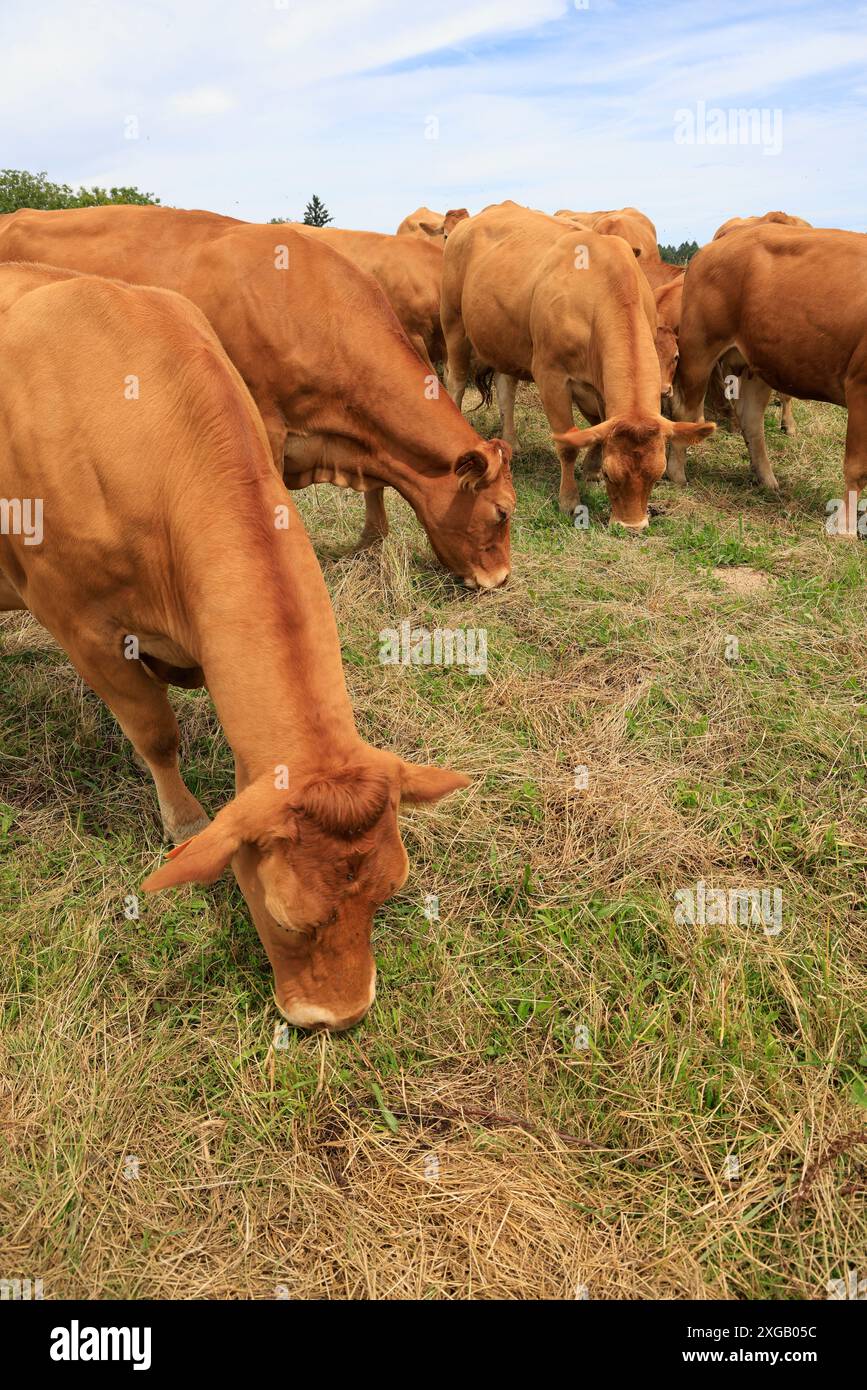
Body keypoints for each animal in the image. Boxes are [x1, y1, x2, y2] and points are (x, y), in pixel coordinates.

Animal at [0, 261, 470, 1030]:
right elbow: (155, 733)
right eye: (283, 918)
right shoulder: (79, 625)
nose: (339, 1018)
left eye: (388, 894)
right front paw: (184, 818)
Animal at [441, 202, 713, 530]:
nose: (632, 526)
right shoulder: (551, 377)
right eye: (611, 474)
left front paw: (590, 470)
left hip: (505, 339)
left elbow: (598, 426)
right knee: (455, 382)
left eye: (658, 474)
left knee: (506, 388)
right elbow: (568, 443)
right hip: (454, 324)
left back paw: (511, 443)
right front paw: (570, 499)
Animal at [670, 223, 867, 534]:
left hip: (758, 362)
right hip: (699, 349)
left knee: (751, 422)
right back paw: (676, 473)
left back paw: (766, 479)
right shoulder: (860, 387)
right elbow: (857, 467)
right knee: (685, 410)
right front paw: (846, 528)